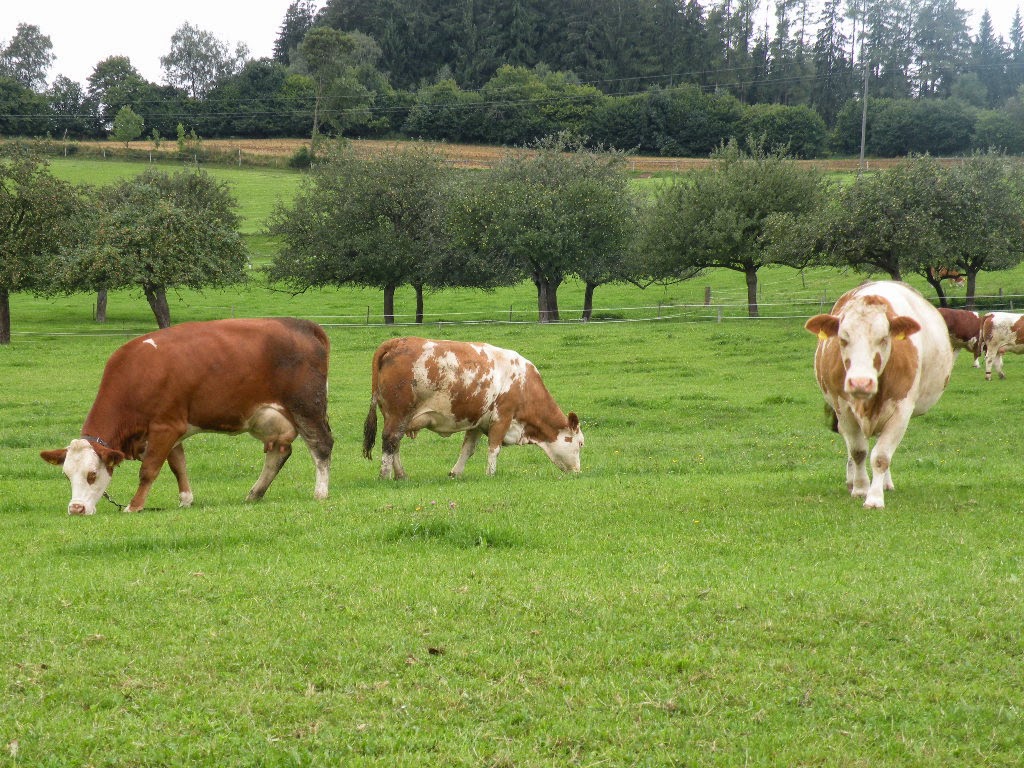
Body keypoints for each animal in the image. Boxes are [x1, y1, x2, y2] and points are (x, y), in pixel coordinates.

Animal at [40, 318, 333, 515]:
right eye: (66, 475)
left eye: (92, 474)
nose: (76, 509)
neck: (138, 374)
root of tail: (303, 325)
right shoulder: (171, 431)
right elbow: (178, 465)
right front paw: (186, 500)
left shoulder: (165, 427)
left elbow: (149, 469)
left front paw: (134, 506)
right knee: (278, 453)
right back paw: (255, 493)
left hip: (307, 408)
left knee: (321, 446)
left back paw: (321, 492)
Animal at [362, 337, 583, 479]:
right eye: (580, 444)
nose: (578, 472)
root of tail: (396, 342)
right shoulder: (502, 417)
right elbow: (494, 448)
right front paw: (490, 474)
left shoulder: (478, 422)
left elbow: (467, 449)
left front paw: (455, 473)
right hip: (399, 413)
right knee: (390, 441)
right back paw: (385, 475)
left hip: (396, 416)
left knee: (395, 444)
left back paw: (400, 474)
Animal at [804, 281, 953, 509]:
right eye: (843, 339)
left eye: (883, 339)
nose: (860, 382)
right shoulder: (843, 408)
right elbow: (858, 451)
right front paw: (860, 489)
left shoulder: (902, 411)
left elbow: (881, 456)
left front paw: (874, 497)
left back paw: (885, 484)